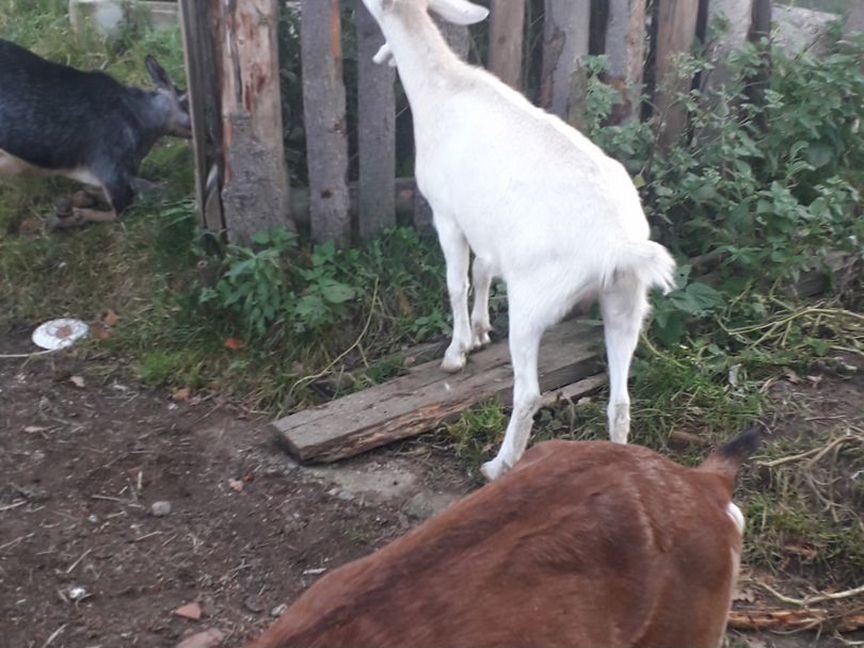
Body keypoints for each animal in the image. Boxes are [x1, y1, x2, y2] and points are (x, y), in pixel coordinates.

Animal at [359, 0, 676, 481]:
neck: (442, 90)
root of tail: (619, 246)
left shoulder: (447, 215)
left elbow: (457, 282)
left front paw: (457, 351)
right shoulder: (488, 231)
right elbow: (482, 272)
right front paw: (480, 331)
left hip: (533, 303)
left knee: (528, 392)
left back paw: (498, 465)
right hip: (626, 302)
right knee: (621, 399)